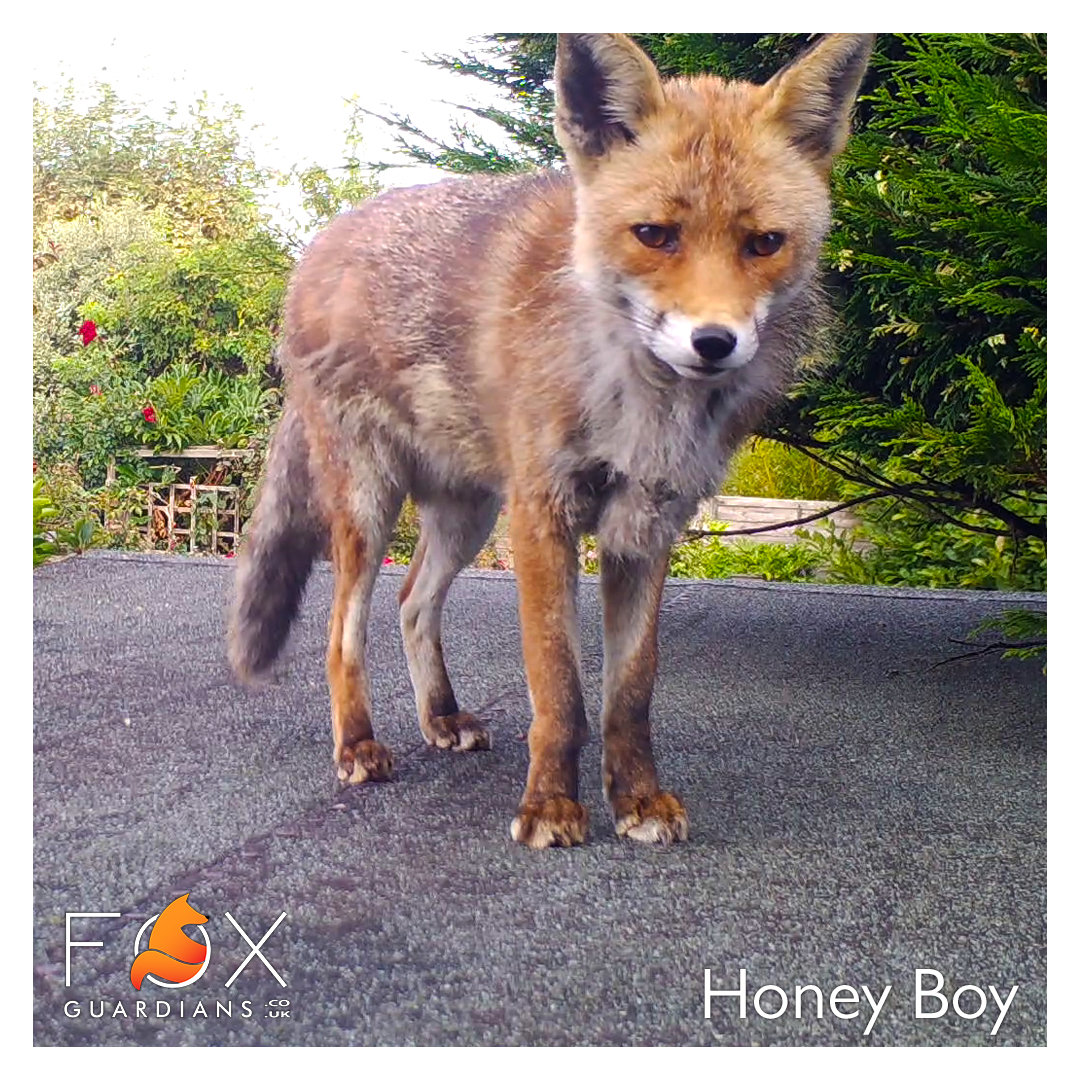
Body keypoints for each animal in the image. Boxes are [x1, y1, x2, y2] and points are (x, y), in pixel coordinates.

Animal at [228, 33, 874, 848]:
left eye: (764, 243)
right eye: (654, 235)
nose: (713, 343)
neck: (637, 398)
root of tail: (315, 250)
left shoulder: (647, 526)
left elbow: (631, 691)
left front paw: (637, 799)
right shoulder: (543, 514)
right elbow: (557, 687)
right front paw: (551, 808)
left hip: (467, 515)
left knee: (412, 604)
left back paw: (441, 717)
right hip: (372, 507)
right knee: (342, 632)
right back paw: (359, 745)